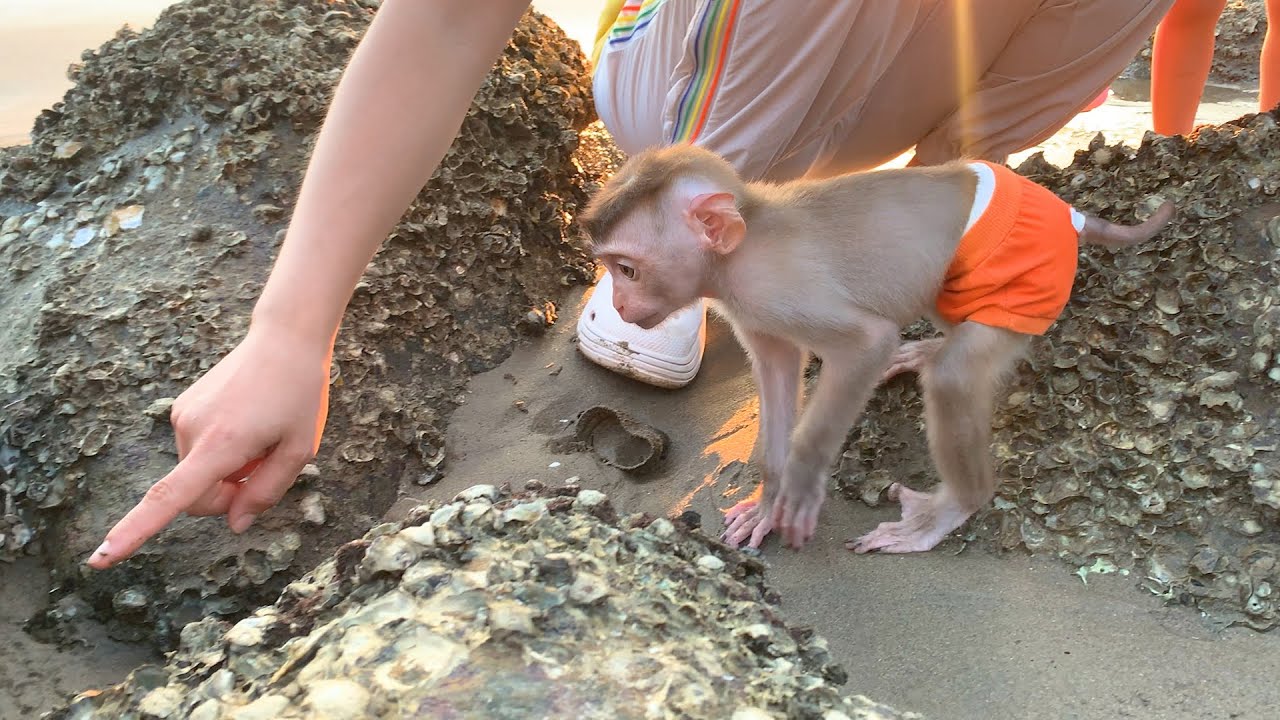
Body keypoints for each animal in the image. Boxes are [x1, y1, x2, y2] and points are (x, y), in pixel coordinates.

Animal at [578, 145, 1174, 554]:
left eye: (628, 269)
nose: (623, 306)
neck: (737, 251)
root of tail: (1066, 212)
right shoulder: (751, 309)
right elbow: (776, 369)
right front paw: (770, 498)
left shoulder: (773, 288)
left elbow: (867, 344)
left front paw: (800, 484)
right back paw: (930, 350)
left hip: (1031, 268)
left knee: (956, 377)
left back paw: (953, 507)